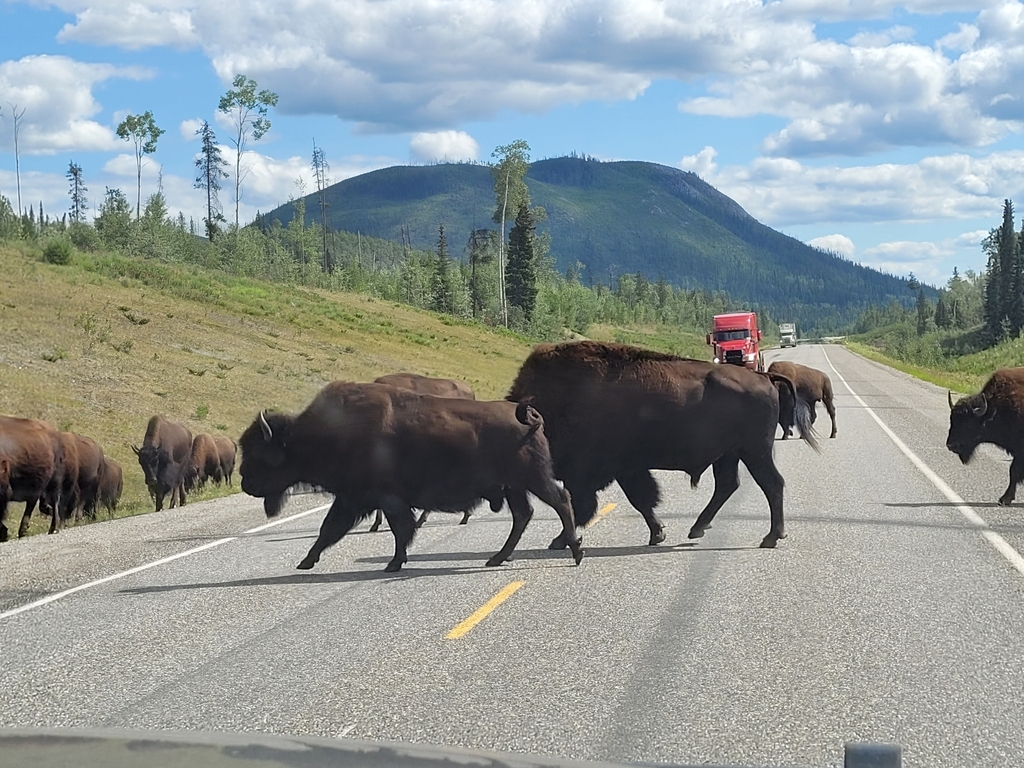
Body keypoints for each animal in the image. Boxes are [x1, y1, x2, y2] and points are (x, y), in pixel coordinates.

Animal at [507, 341, 817, 549]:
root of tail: (763, 376)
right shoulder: (624, 470)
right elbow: (640, 500)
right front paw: (658, 533)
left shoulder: (598, 472)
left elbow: (588, 503)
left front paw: (559, 540)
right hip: (729, 454)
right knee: (728, 485)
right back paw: (697, 529)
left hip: (754, 452)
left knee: (772, 484)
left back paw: (771, 537)